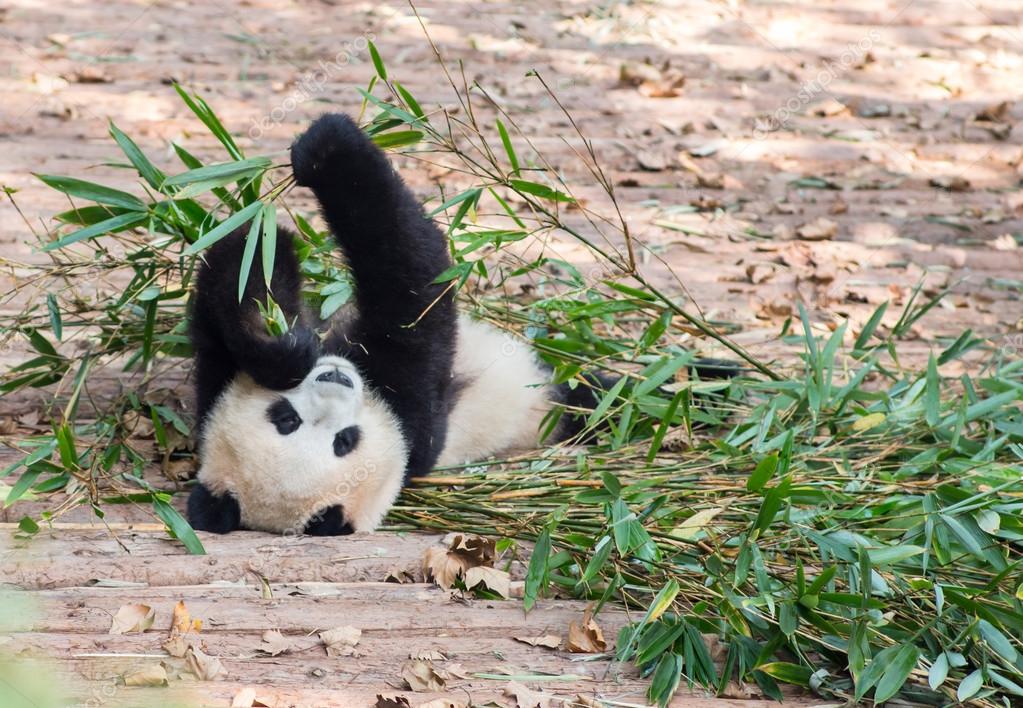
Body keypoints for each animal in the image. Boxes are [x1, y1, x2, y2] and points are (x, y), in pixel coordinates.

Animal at [186, 113, 609, 536]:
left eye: (284, 417)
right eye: (344, 441)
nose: (335, 379)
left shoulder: (215, 381)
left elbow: (238, 265)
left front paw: (282, 344)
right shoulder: (411, 414)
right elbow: (410, 284)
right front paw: (331, 149)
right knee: (590, 402)